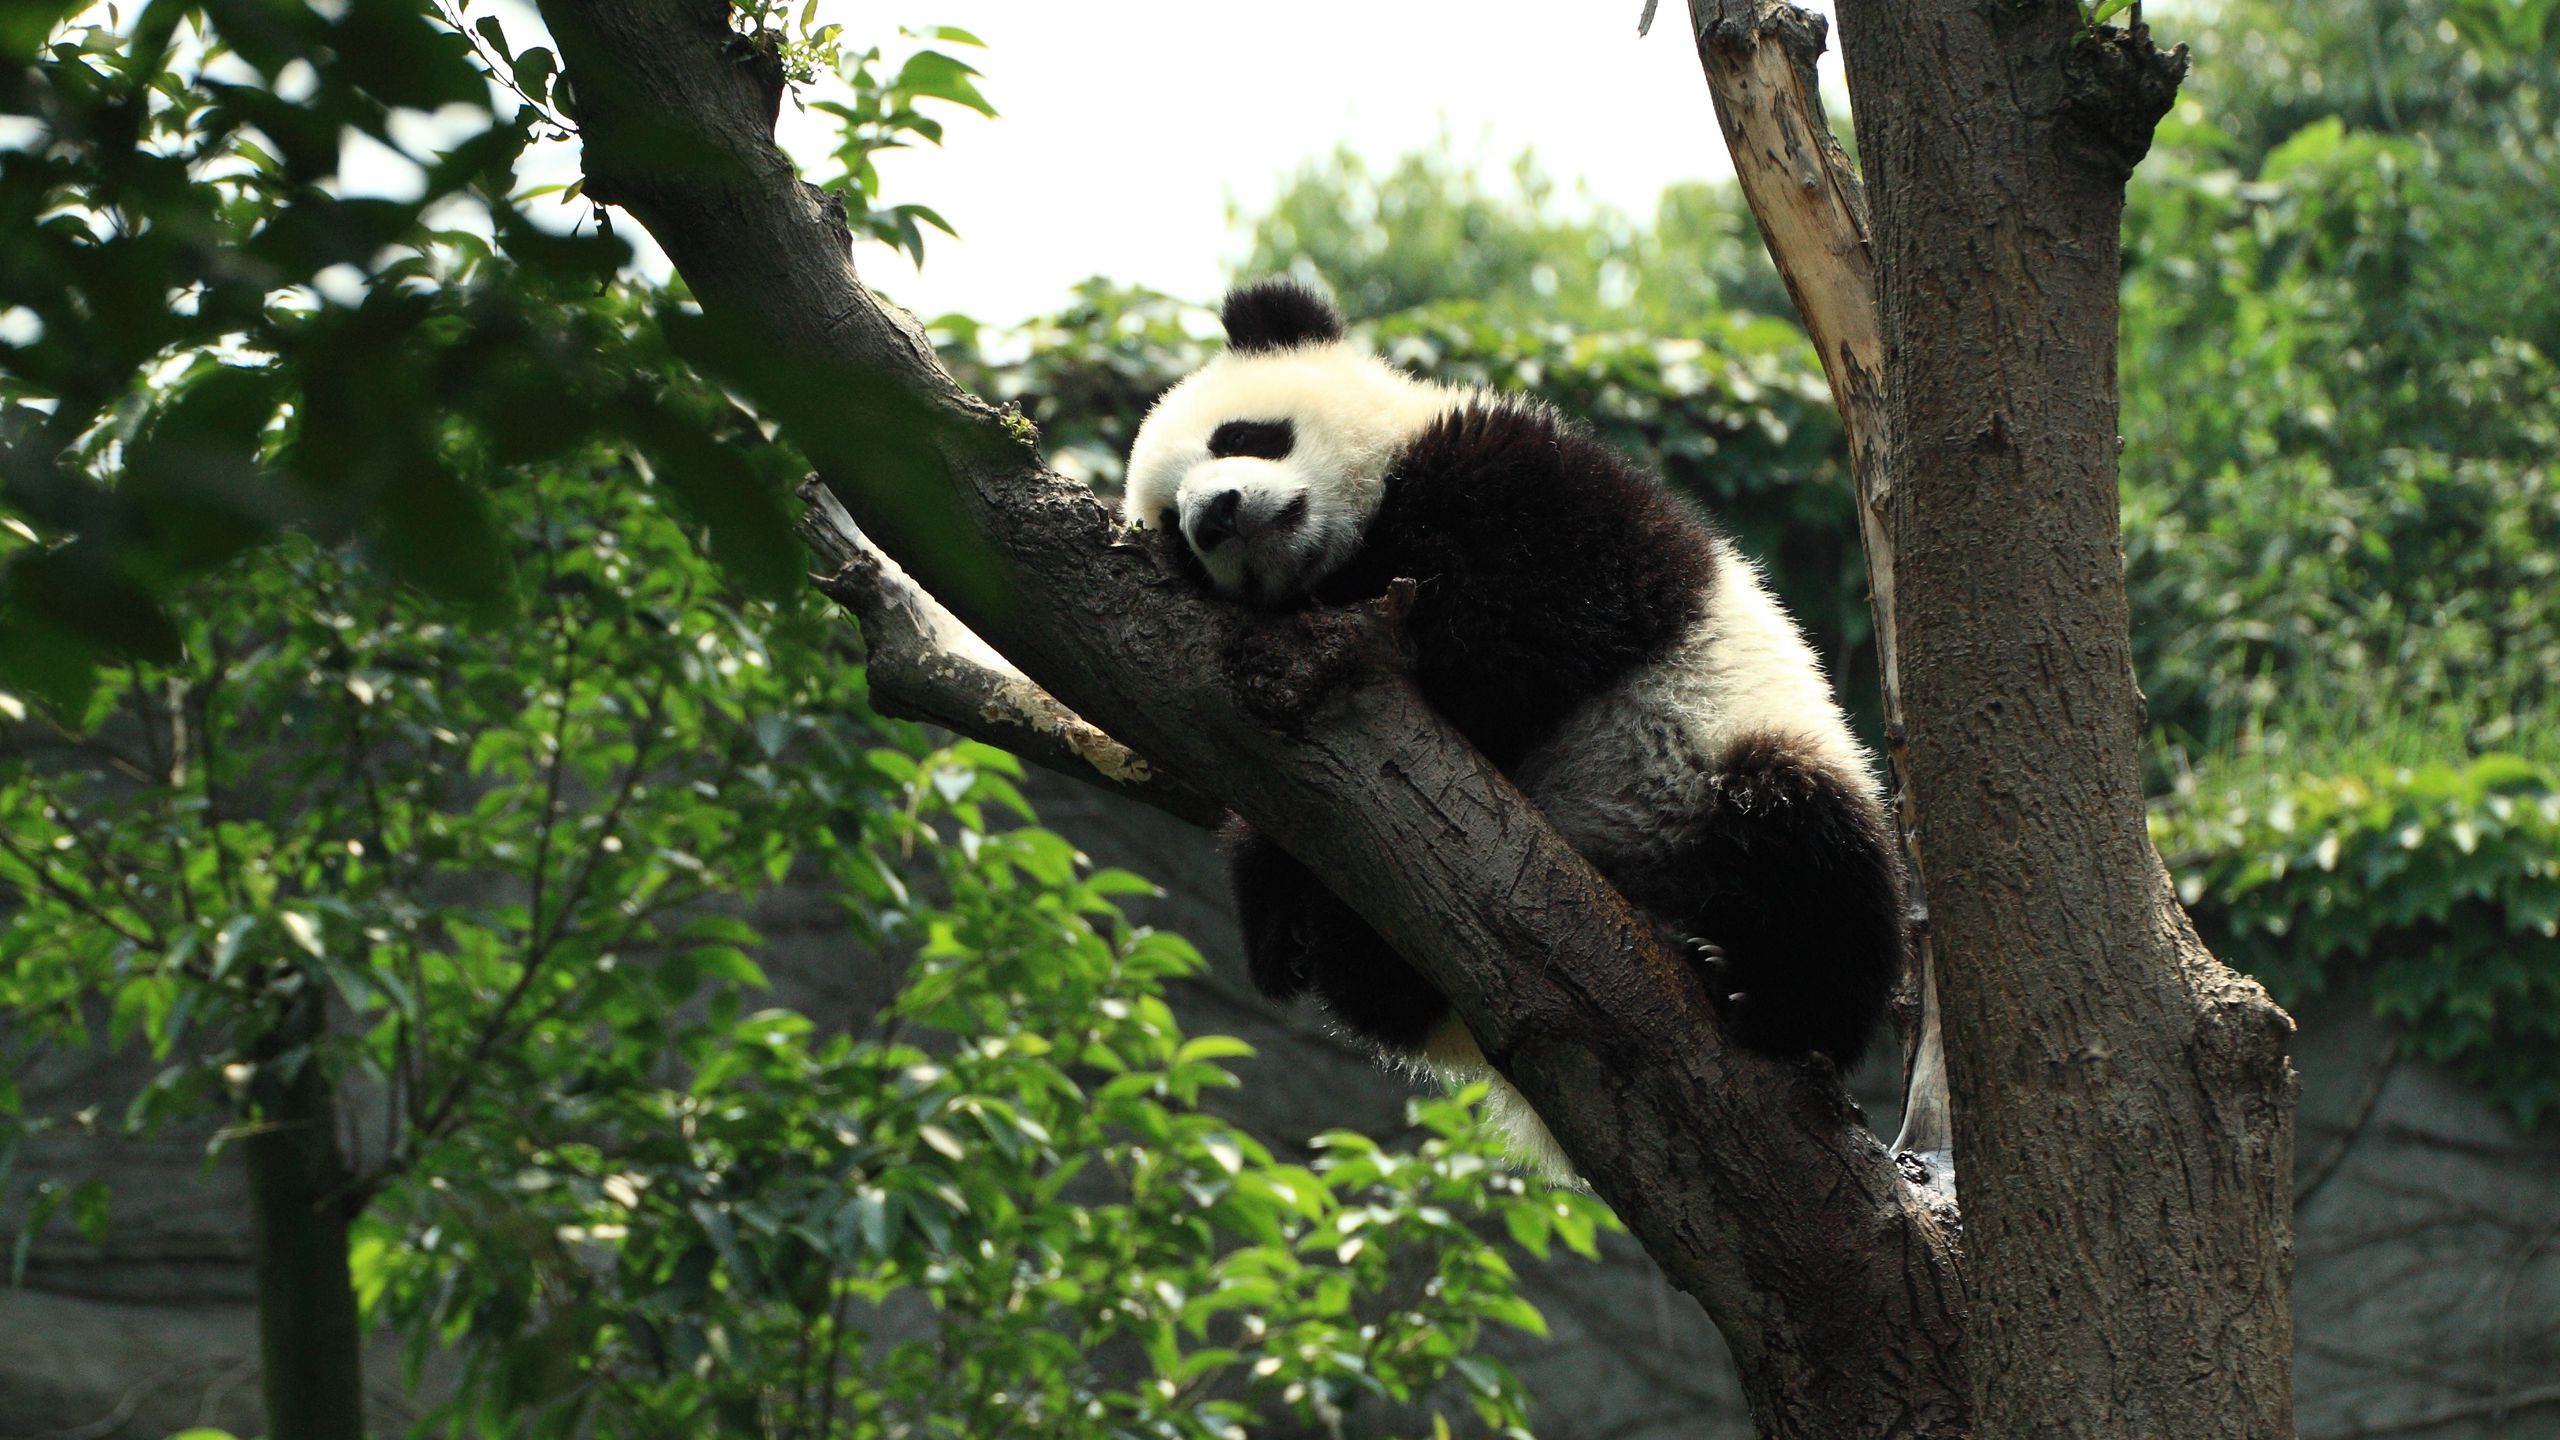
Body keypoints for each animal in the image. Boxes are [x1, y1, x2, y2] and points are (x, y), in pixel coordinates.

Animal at [1126, 278, 1906, 1171]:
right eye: (1173, 532)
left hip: (1729, 756)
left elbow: (1530, 612)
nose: (1214, 516)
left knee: (1812, 848)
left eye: (1242, 435)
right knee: (1378, 995)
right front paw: (1272, 911)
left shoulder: (1537, 480)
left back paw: (1761, 995)